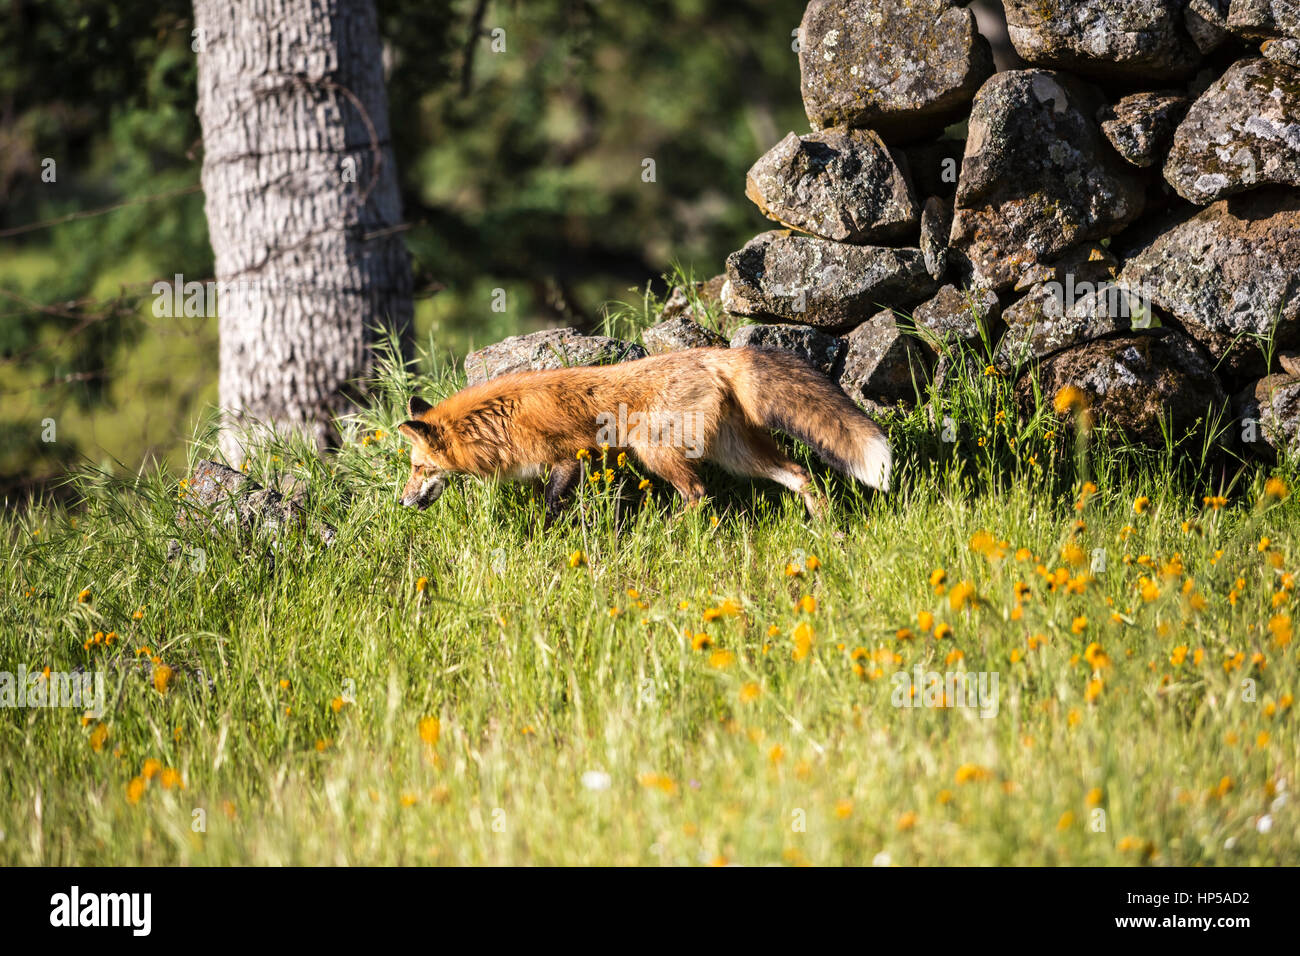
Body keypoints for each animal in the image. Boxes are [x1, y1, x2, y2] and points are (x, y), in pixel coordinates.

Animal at [396, 346, 890, 518]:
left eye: (419, 469)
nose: (401, 502)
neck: (500, 420)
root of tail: (716, 353)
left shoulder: (570, 454)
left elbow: (551, 503)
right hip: (737, 455)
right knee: (799, 474)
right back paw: (826, 528)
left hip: (653, 450)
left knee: (696, 493)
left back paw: (672, 532)